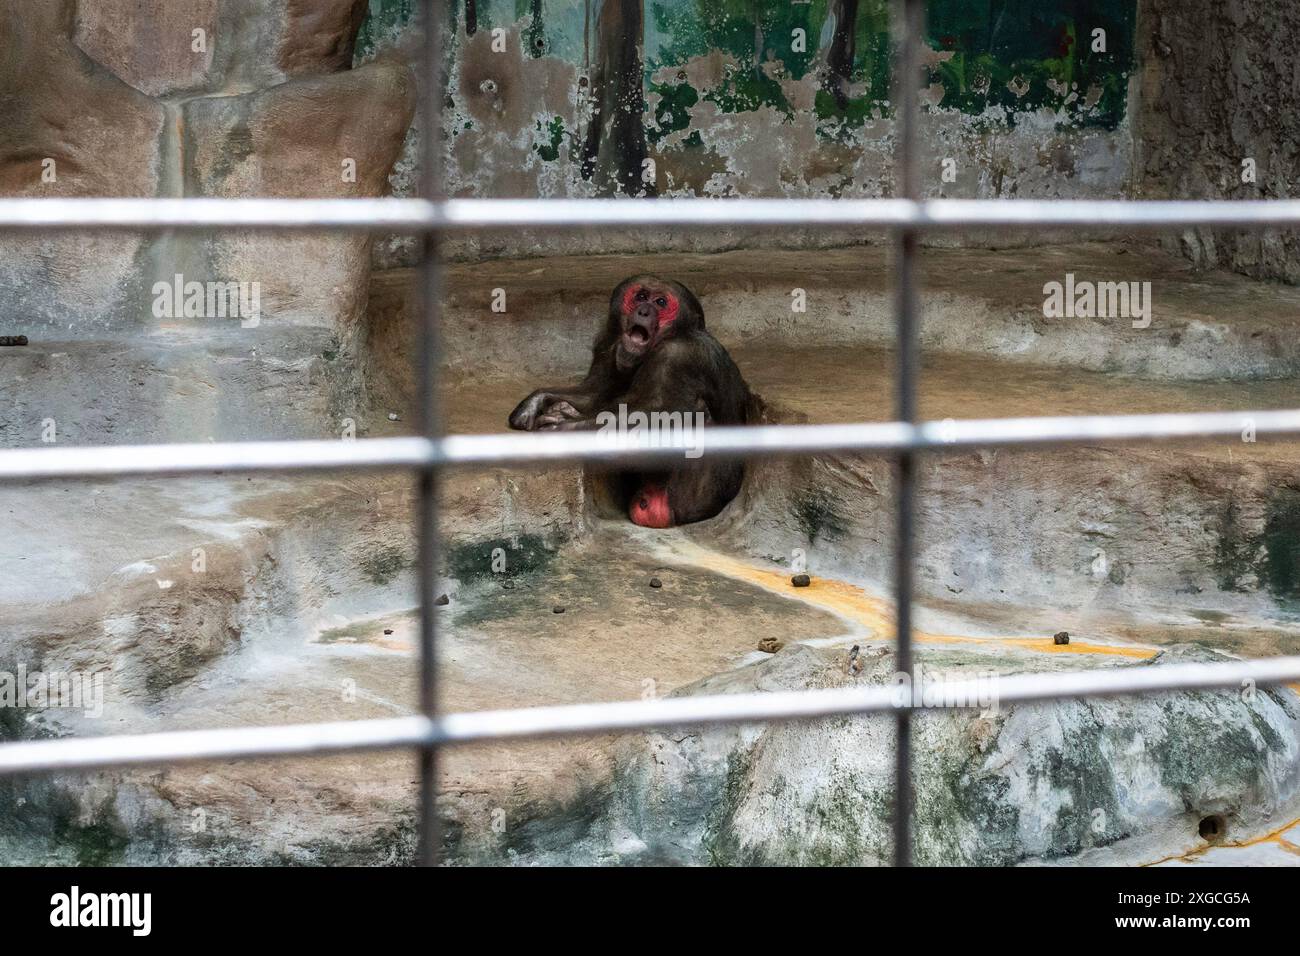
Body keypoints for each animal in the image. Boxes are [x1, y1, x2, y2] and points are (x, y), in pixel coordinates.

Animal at [508, 275, 752, 527]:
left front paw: (566, 429)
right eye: (641, 296)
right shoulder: (608, 343)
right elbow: (595, 393)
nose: (644, 310)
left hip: (689, 500)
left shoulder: (679, 355)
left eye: (661, 302)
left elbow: (660, 419)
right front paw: (537, 401)